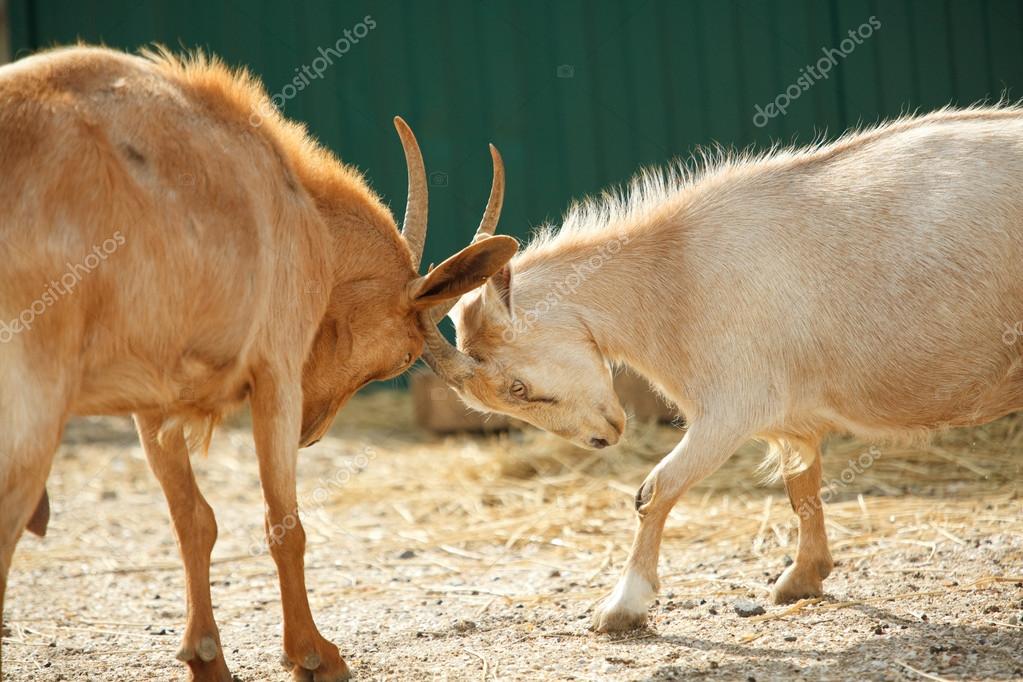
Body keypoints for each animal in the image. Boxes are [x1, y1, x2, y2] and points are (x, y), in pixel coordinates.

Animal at [0, 45, 516, 680]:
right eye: (403, 356)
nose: (310, 432)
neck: (295, 204)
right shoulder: (276, 372)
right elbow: (283, 524)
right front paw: (315, 655)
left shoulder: (152, 399)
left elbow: (193, 519)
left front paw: (206, 656)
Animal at [420, 107, 1023, 632]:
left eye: (516, 385)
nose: (603, 436)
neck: (672, 269)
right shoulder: (787, 413)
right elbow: (801, 484)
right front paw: (801, 579)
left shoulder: (731, 409)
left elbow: (654, 490)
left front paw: (621, 608)